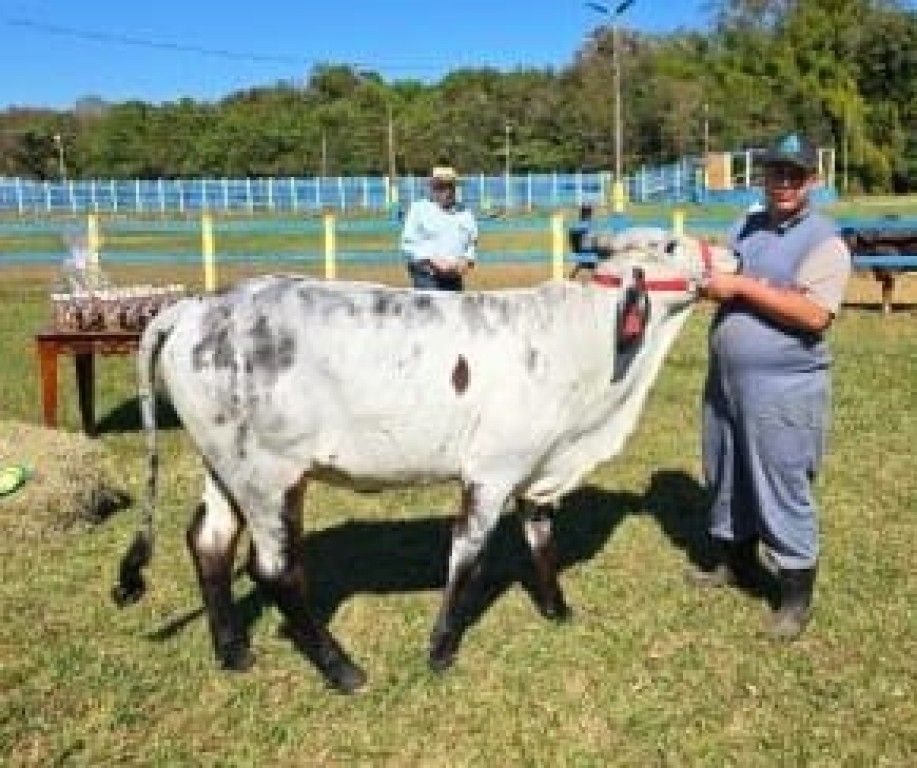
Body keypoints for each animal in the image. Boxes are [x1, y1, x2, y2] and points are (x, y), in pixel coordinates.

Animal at [112, 231, 728, 693]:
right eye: (670, 244)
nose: (729, 254)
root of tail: (201, 304)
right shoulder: (491, 473)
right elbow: (468, 559)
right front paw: (441, 648)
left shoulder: (534, 469)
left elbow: (541, 542)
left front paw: (558, 610)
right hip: (269, 476)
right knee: (275, 570)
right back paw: (343, 670)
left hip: (226, 464)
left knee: (210, 543)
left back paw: (233, 650)